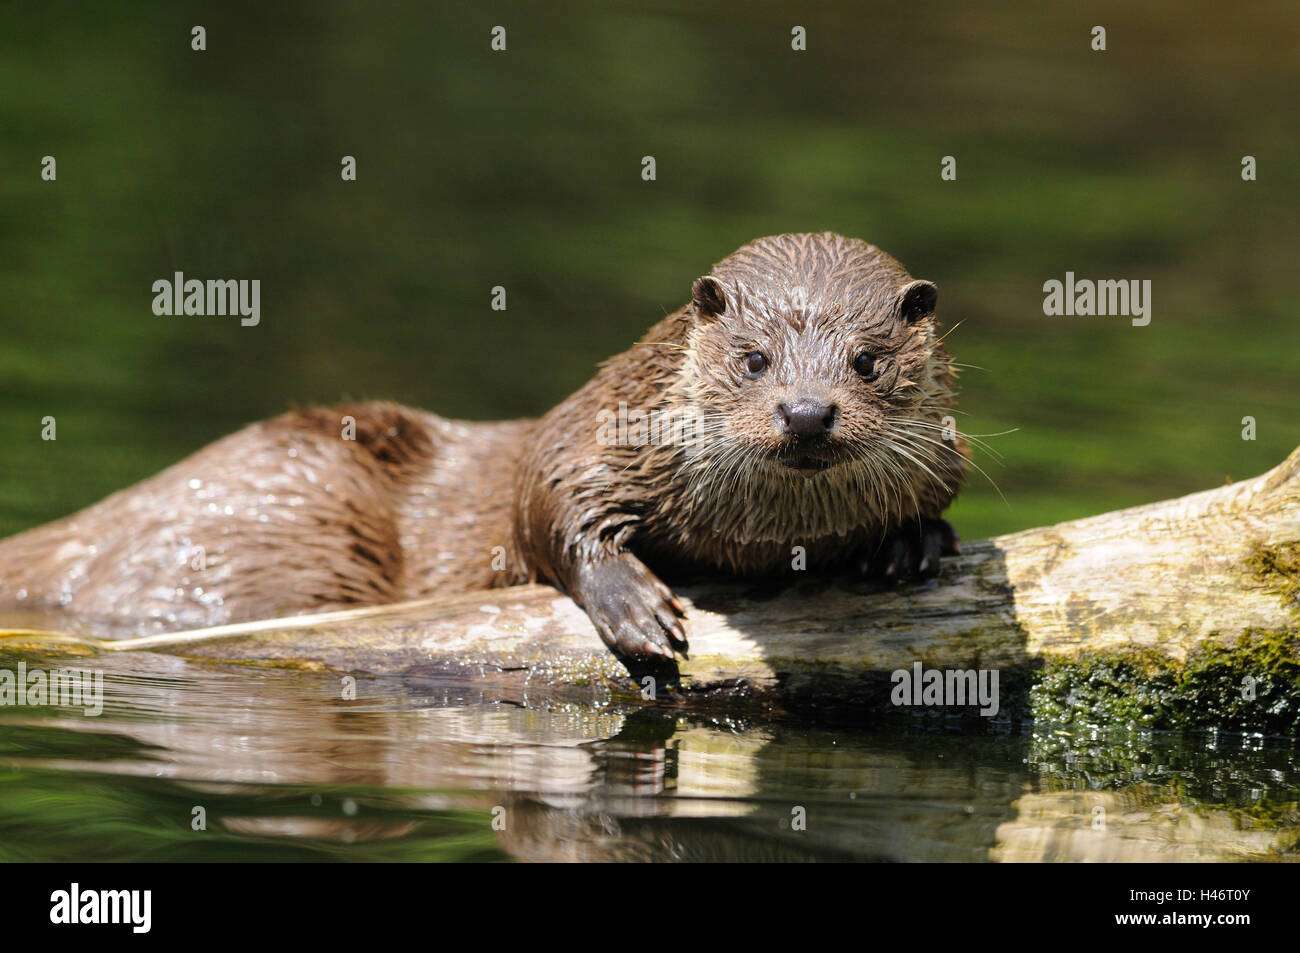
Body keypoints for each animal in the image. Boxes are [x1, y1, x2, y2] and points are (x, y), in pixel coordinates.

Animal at [0, 233, 966, 666]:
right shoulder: (592, 427)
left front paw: (912, 541)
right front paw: (635, 608)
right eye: (755, 357)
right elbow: (542, 498)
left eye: (868, 360)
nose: (805, 412)